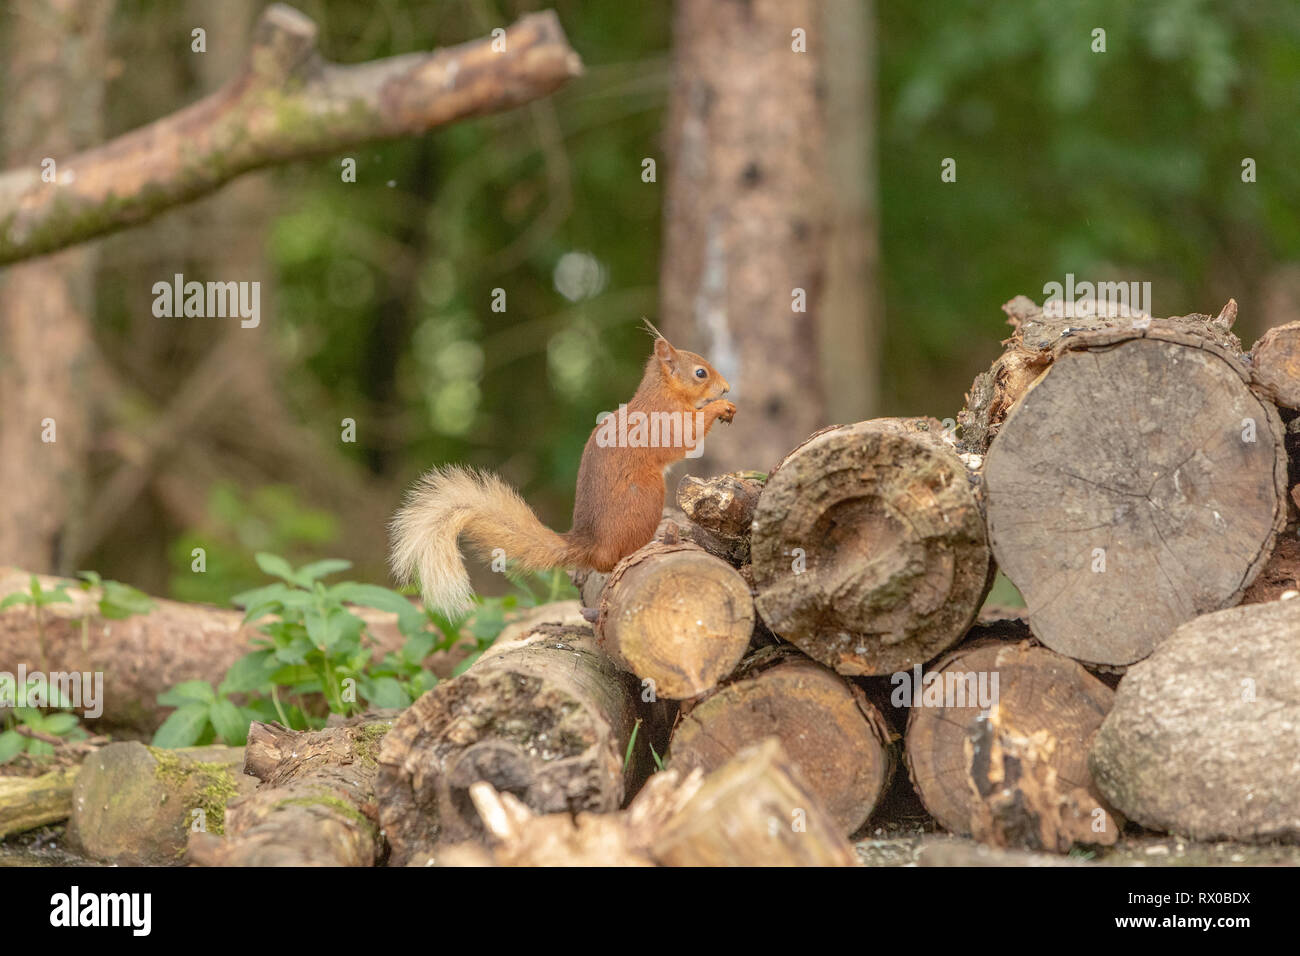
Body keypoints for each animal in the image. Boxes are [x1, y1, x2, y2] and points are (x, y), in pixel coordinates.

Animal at [390, 320, 736, 616]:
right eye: (701, 373)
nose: (727, 389)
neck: (662, 392)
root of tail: (591, 546)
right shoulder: (667, 422)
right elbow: (686, 437)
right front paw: (720, 408)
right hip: (646, 497)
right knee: (614, 561)